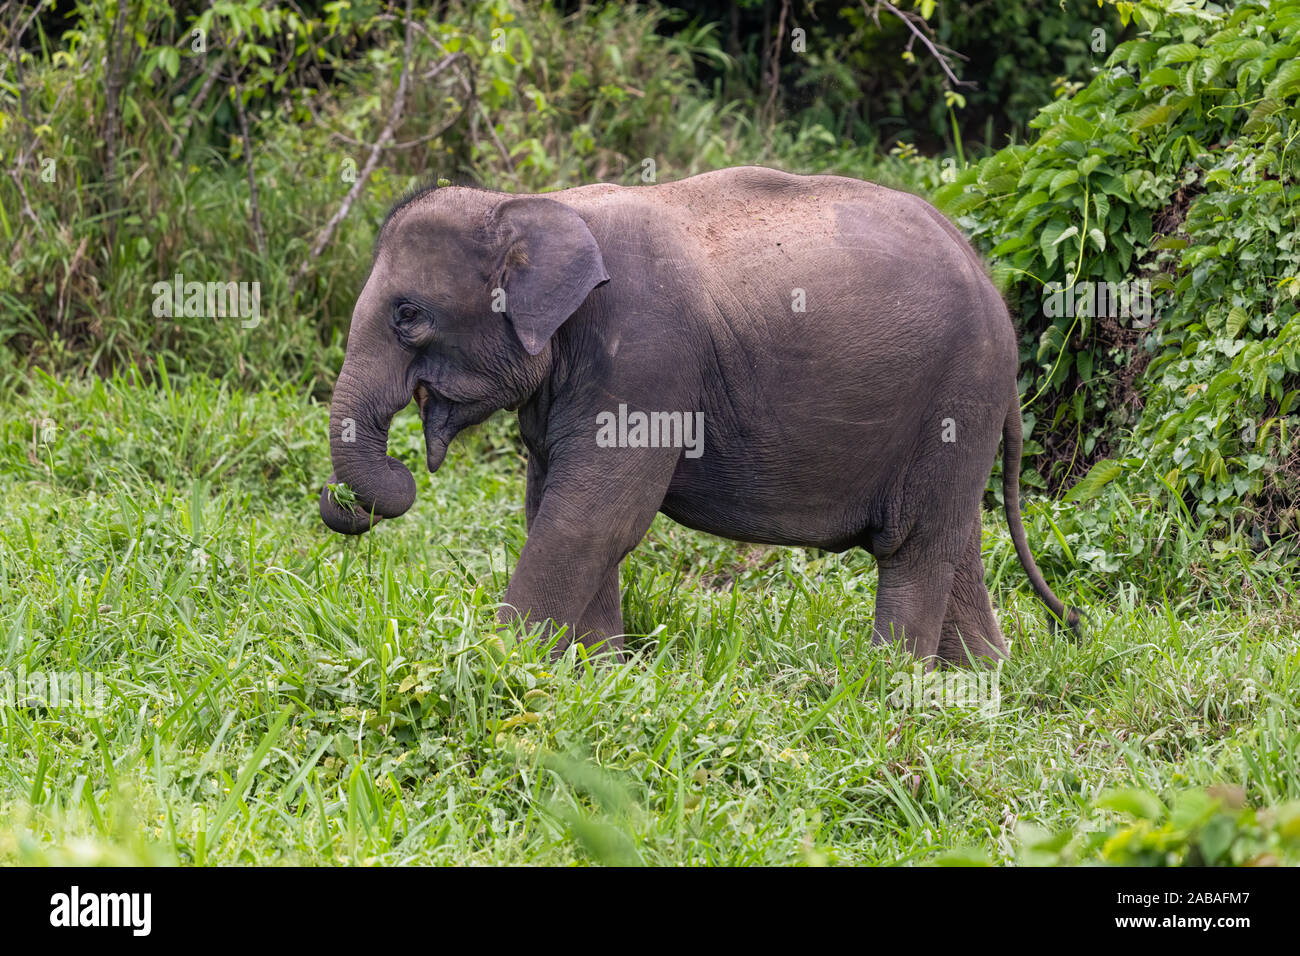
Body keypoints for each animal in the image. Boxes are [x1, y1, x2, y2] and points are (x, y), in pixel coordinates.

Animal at [318, 165, 1080, 665]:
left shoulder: (648, 359)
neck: (532, 204)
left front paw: (508, 662)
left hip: (956, 393)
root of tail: (993, 289)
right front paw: (596, 673)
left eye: (409, 315)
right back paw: (978, 684)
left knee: (915, 546)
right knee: (955, 539)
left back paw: (885, 688)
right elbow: (554, 507)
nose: (339, 501)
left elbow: (594, 515)